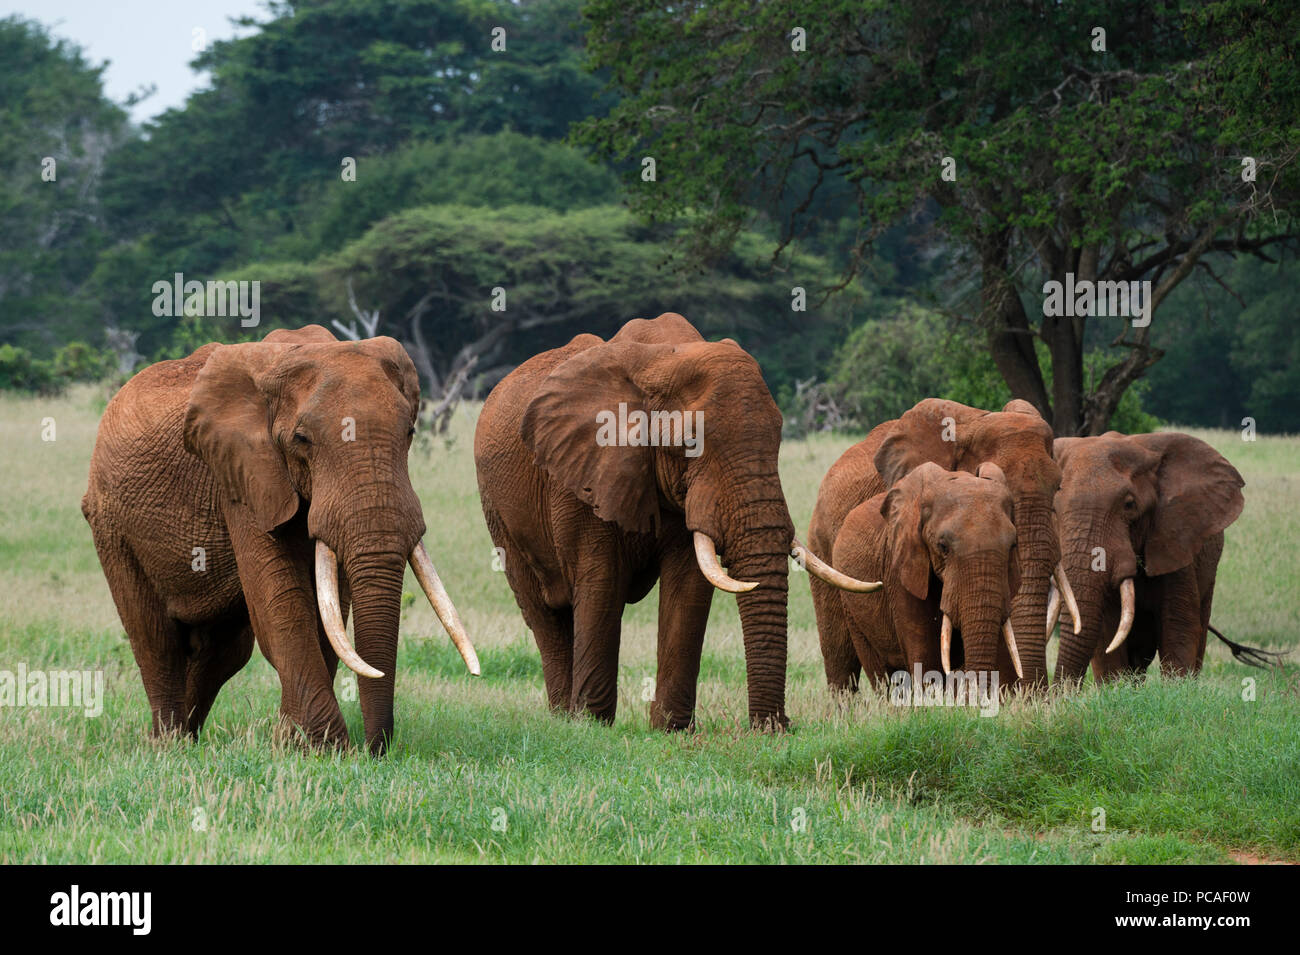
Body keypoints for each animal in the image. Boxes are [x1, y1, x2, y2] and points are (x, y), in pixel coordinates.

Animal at [81, 324, 478, 754]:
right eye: (302, 439)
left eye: (410, 432)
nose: (374, 751)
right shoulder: (240, 475)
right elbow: (282, 602)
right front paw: (322, 747)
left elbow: (329, 605)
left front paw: (291, 742)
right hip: (110, 524)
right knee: (156, 639)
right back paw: (168, 745)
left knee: (222, 651)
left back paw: (188, 738)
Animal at [474, 312, 877, 731]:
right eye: (689, 443)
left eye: (779, 436)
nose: (777, 728)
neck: (661, 358)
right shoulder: (583, 476)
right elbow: (601, 582)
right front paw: (592, 725)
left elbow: (689, 586)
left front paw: (671, 730)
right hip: (498, 512)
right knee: (545, 613)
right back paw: (564, 719)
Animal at [1050, 431, 1245, 683]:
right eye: (1053, 509)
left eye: (1129, 505)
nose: (1056, 691)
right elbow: (1107, 632)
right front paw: (1115, 688)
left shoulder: (1174, 539)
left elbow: (1179, 626)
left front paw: (1177, 687)